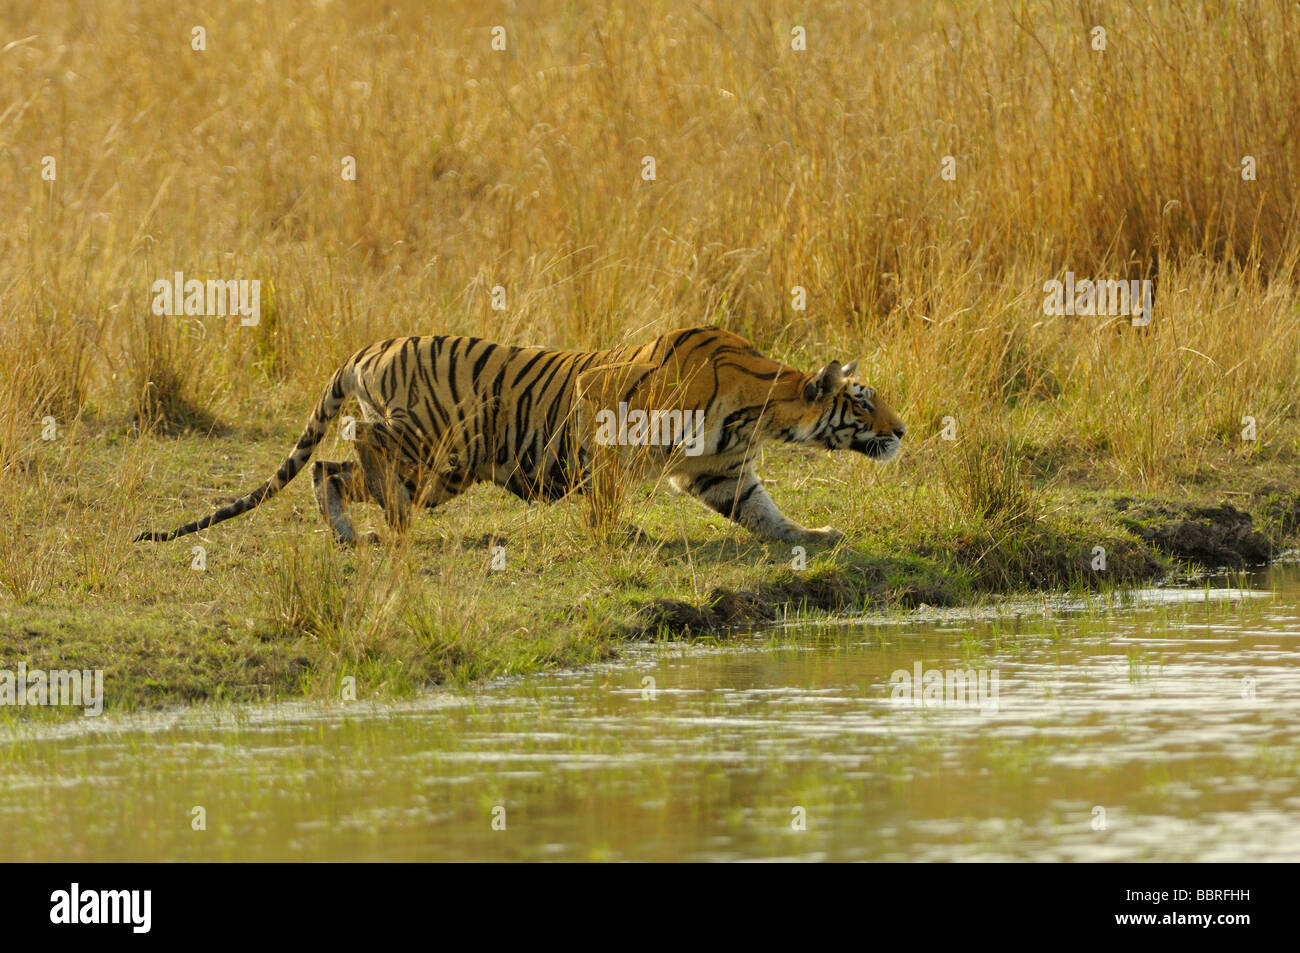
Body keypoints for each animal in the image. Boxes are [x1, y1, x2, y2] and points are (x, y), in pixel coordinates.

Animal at [134, 326, 905, 547]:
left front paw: (812, 537)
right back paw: (379, 524)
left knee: (330, 469)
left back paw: (355, 532)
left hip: (435, 465)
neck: (763, 409)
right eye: (864, 403)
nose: (902, 431)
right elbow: (606, 501)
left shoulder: (720, 470)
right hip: (430, 450)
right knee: (350, 459)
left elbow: (765, 512)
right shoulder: (613, 434)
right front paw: (617, 538)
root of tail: (367, 347)